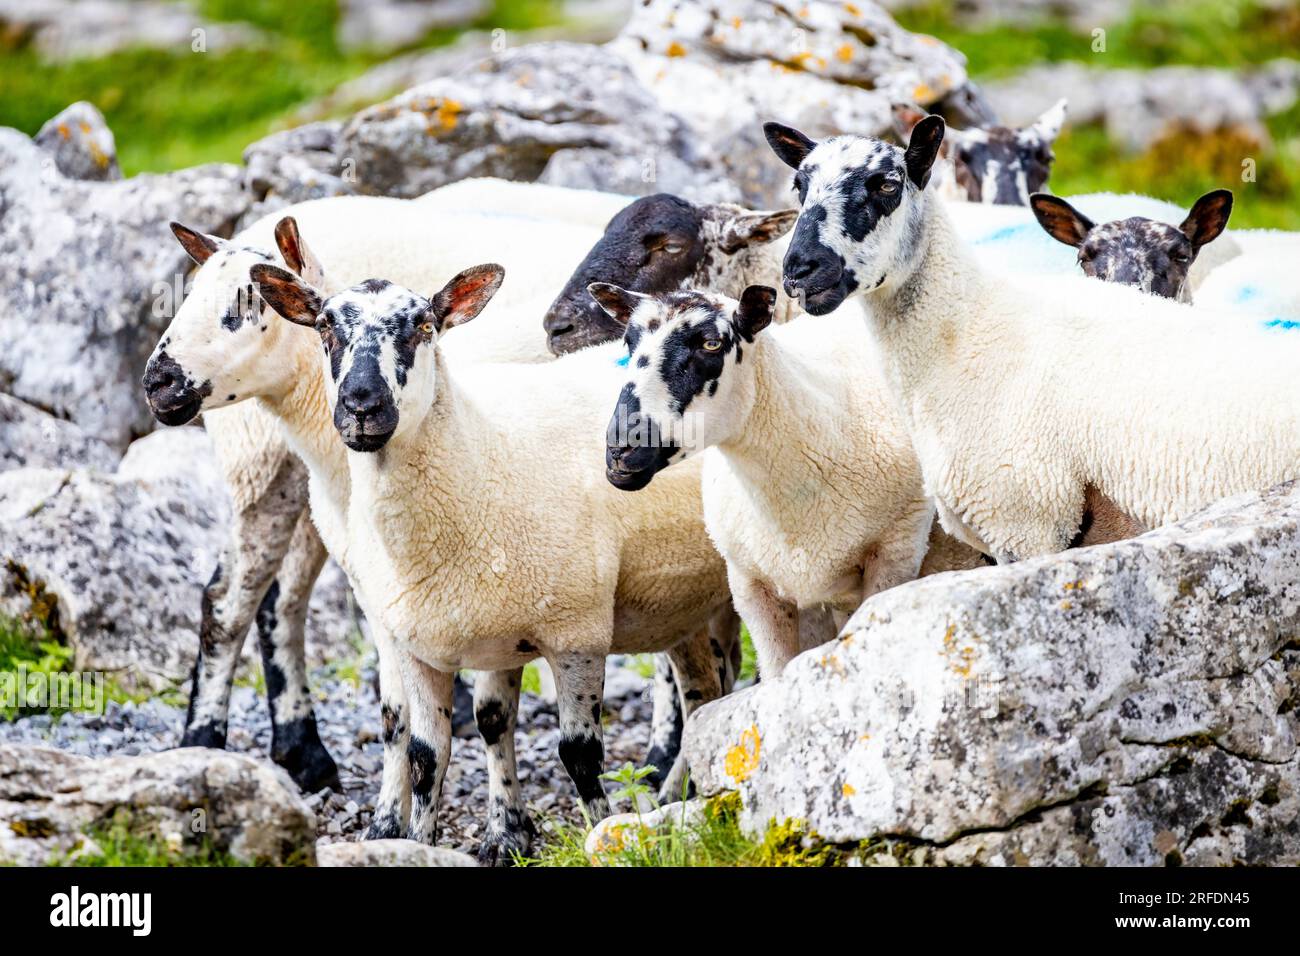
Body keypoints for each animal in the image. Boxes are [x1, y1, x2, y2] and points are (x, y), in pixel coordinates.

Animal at [249, 262, 737, 851]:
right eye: (324, 327)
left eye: (424, 326)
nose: (362, 406)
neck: (479, 455)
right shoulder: (426, 644)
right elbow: (428, 754)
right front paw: (429, 843)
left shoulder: (576, 633)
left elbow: (580, 755)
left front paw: (598, 831)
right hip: (681, 603)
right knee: (703, 696)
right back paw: (682, 799)